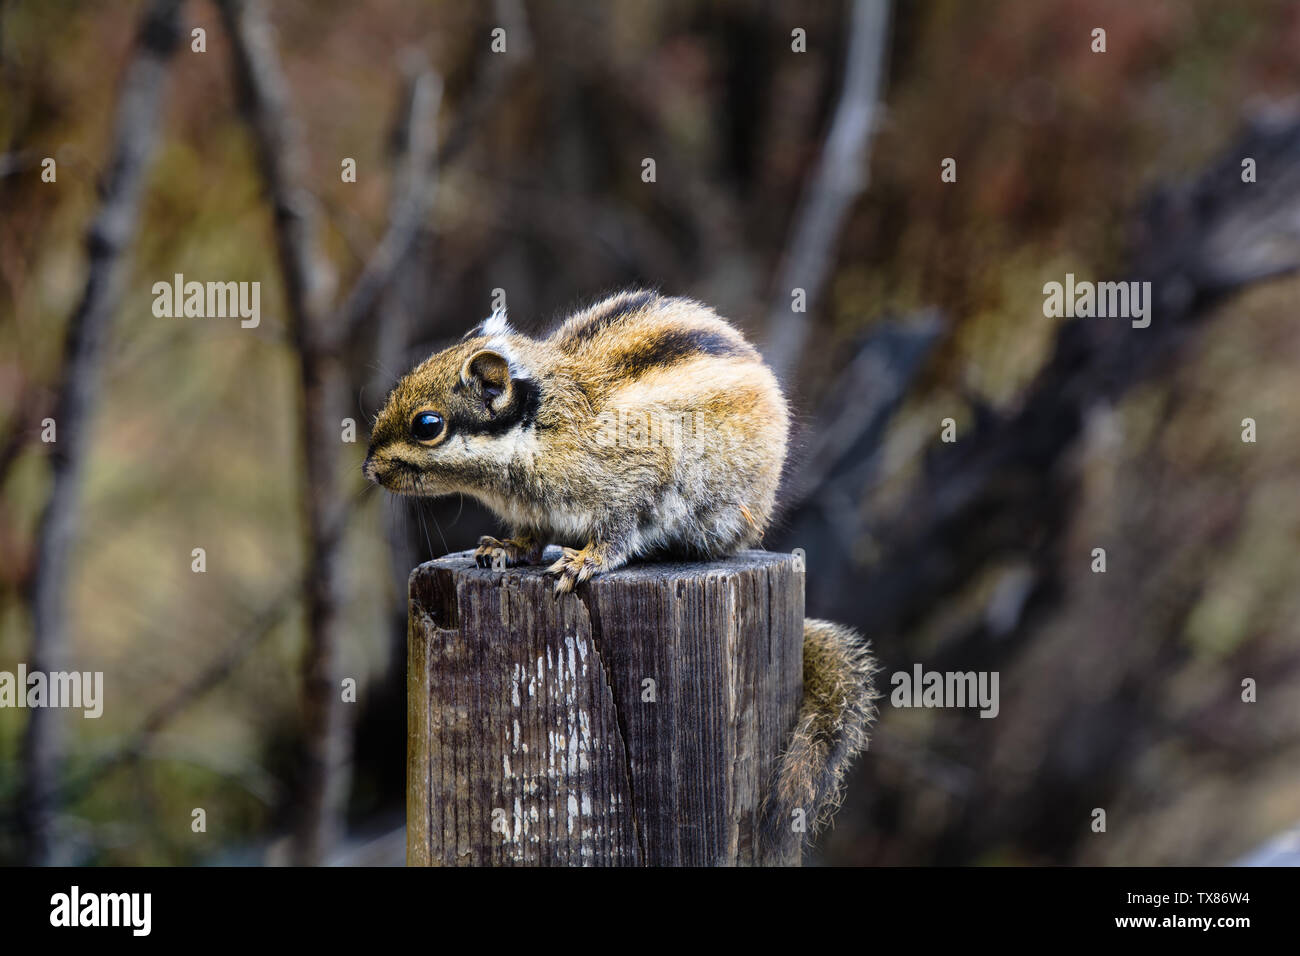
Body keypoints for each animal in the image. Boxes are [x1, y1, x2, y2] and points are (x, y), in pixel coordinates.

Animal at [363, 289, 878, 845]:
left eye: (427, 425)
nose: (370, 469)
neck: (541, 425)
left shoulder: (637, 478)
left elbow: (618, 531)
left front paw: (584, 561)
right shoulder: (533, 511)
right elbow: (530, 537)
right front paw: (503, 549)